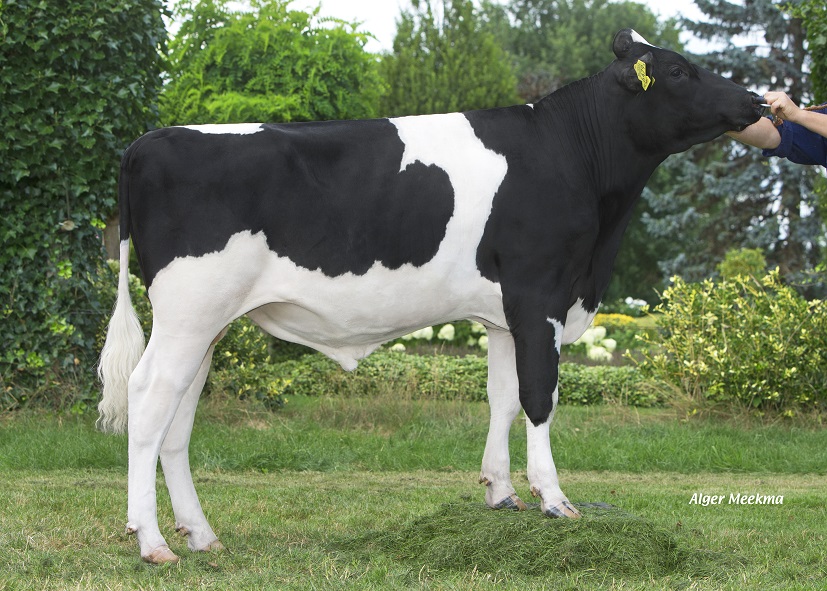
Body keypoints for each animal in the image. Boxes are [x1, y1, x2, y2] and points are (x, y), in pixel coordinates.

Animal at [98, 29, 762, 564]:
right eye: (677, 72)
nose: (755, 102)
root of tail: (148, 141)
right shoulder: (539, 295)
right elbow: (539, 397)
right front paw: (554, 500)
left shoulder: (502, 315)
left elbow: (502, 399)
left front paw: (502, 494)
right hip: (189, 310)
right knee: (148, 397)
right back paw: (151, 542)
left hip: (205, 323)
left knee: (178, 417)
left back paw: (201, 535)